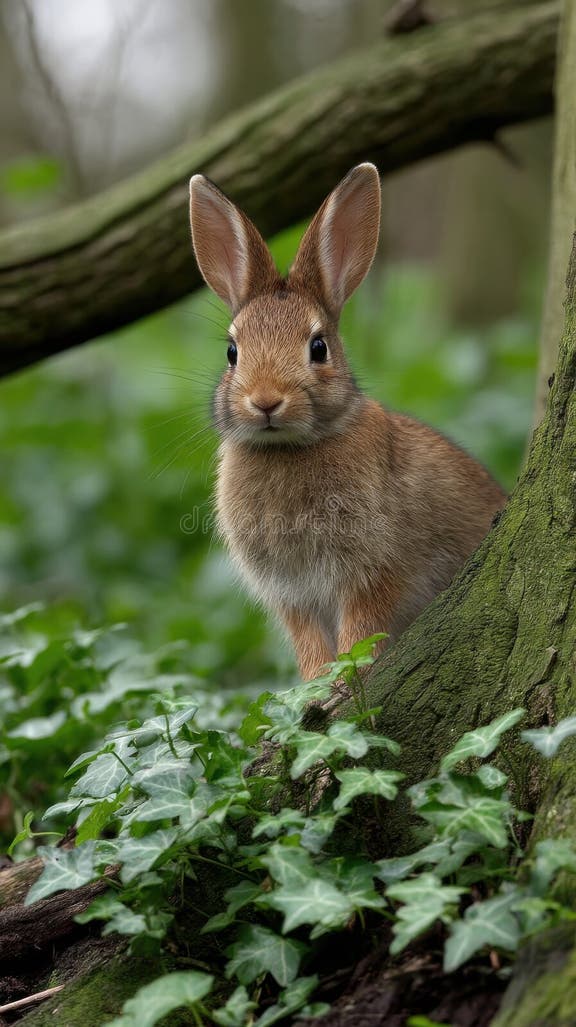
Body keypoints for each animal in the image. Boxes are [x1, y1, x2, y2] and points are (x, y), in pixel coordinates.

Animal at [188, 163, 506, 682]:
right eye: (232, 352)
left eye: (318, 348)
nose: (265, 401)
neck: (290, 448)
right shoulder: (292, 594)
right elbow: (309, 643)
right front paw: (317, 686)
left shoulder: (374, 572)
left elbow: (361, 629)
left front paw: (345, 682)